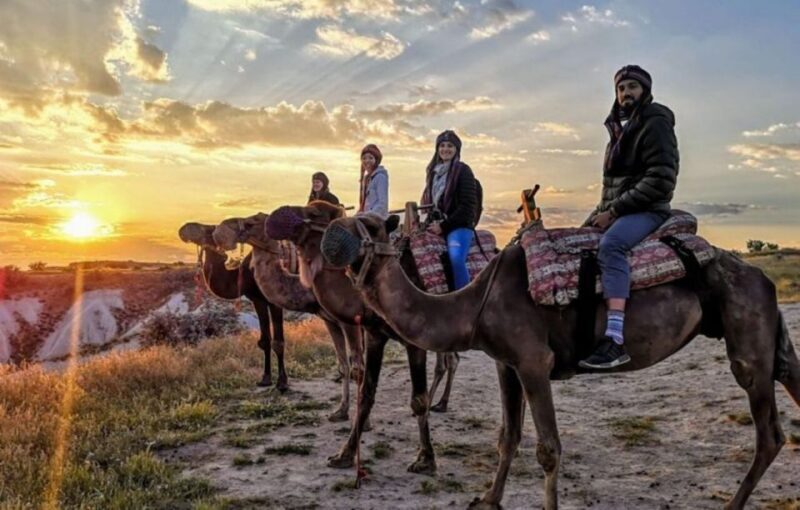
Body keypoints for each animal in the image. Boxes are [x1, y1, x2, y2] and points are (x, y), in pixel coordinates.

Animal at [178, 222, 287, 390]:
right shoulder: (258, 300)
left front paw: (282, 382)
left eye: (208, 228)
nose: (184, 228)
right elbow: (265, 341)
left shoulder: (275, 300)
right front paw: (265, 378)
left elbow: (278, 342)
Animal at [213, 214, 364, 422]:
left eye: (252, 222)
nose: (220, 231)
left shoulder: (350, 321)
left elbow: (358, 368)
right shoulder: (330, 320)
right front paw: (341, 411)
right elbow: (344, 365)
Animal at [265, 201, 463, 474]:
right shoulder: (373, 334)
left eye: (315, 212)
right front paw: (345, 453)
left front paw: (425, 458)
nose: (278, 215)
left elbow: (416, 398)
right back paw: (441, 403)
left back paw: (439, 404)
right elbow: (366, 390)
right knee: (450, 361)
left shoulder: (404, 340)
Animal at [321, 213, 800, 510]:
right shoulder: (506, 363)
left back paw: (734, 502)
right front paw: (488, 499)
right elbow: (507, 437)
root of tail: (762, 277)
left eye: (370, 224)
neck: (474, 303)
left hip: (747, 338)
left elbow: (548, 449)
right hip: (763, 333)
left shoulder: (534, 362)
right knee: (789, 382)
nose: (332, 231)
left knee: (769, 432)